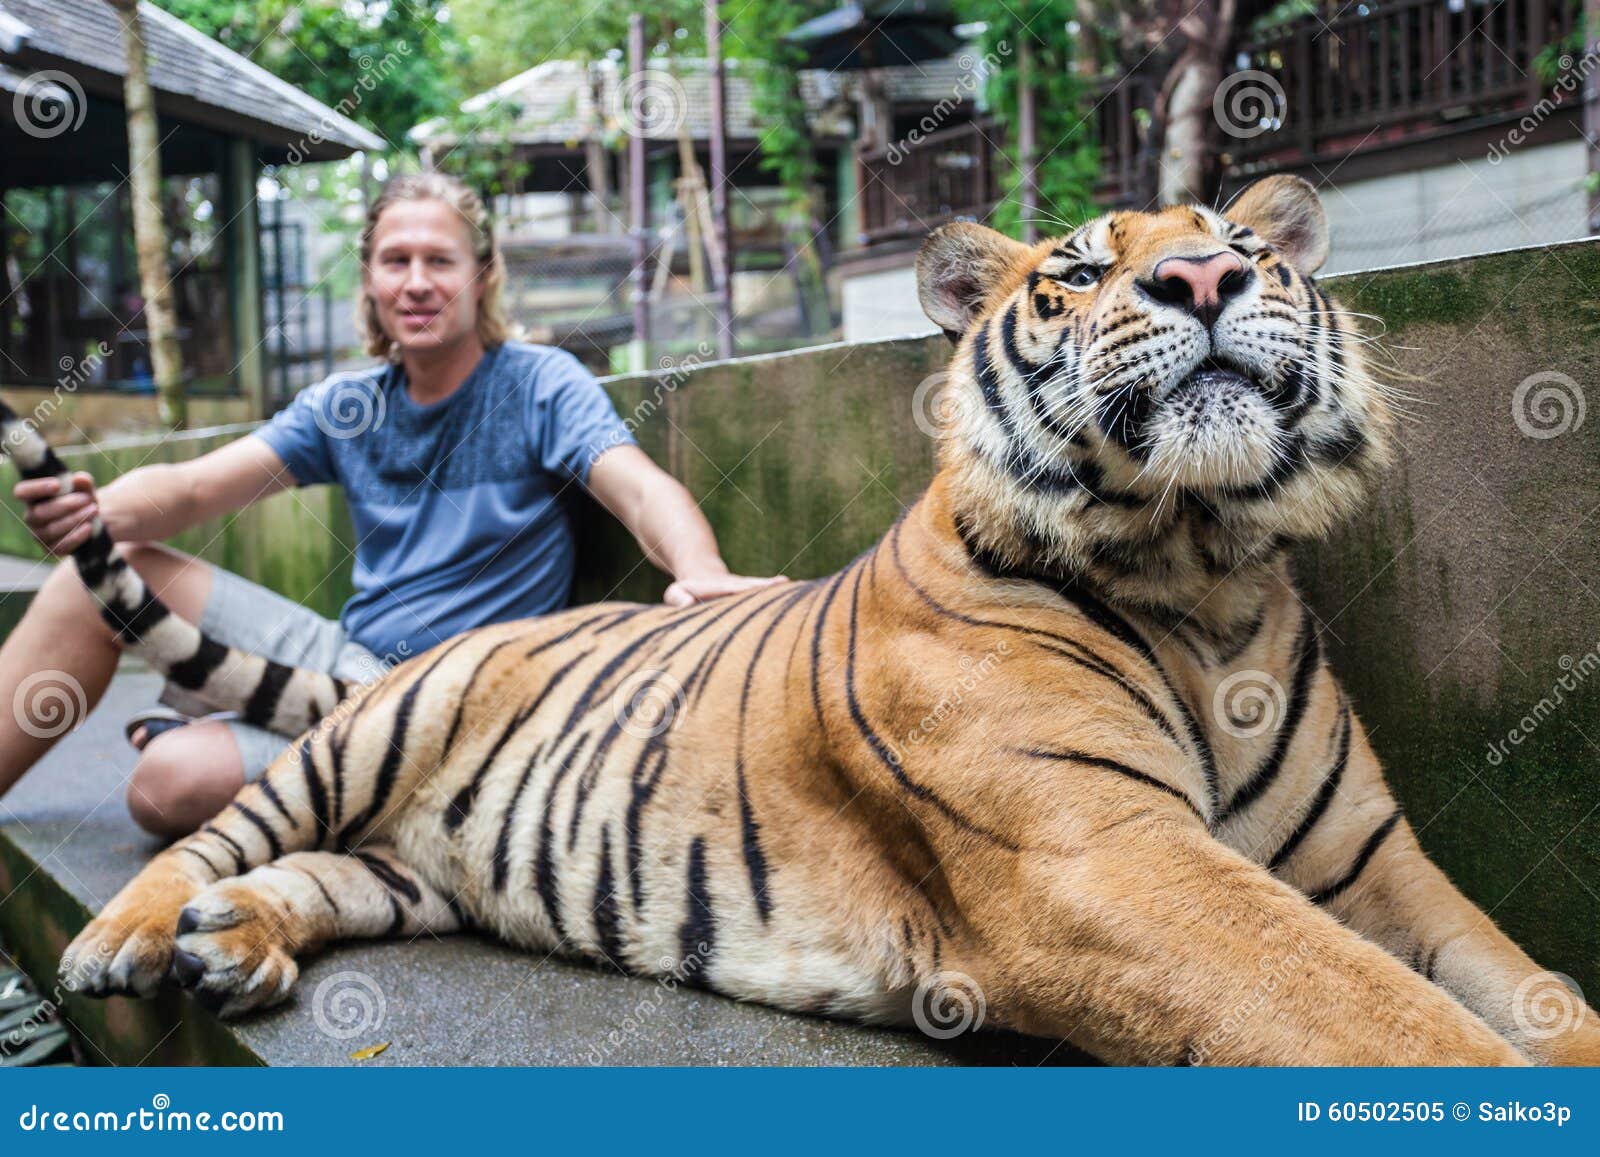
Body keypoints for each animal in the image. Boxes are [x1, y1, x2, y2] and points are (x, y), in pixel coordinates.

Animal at [6, 174, 1596, 1065]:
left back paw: (239, 943)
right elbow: (1380, 1023)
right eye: (1079, 271)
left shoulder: (1373, 868)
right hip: (369, 739)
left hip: (425, 865)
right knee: (220, 829)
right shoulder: (1106, 859)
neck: (1202, 571)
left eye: (1247, 251)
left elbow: (1530, 992)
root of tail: (414, 652)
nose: (1204, 275)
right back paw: (136, 938)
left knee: (327, 875)